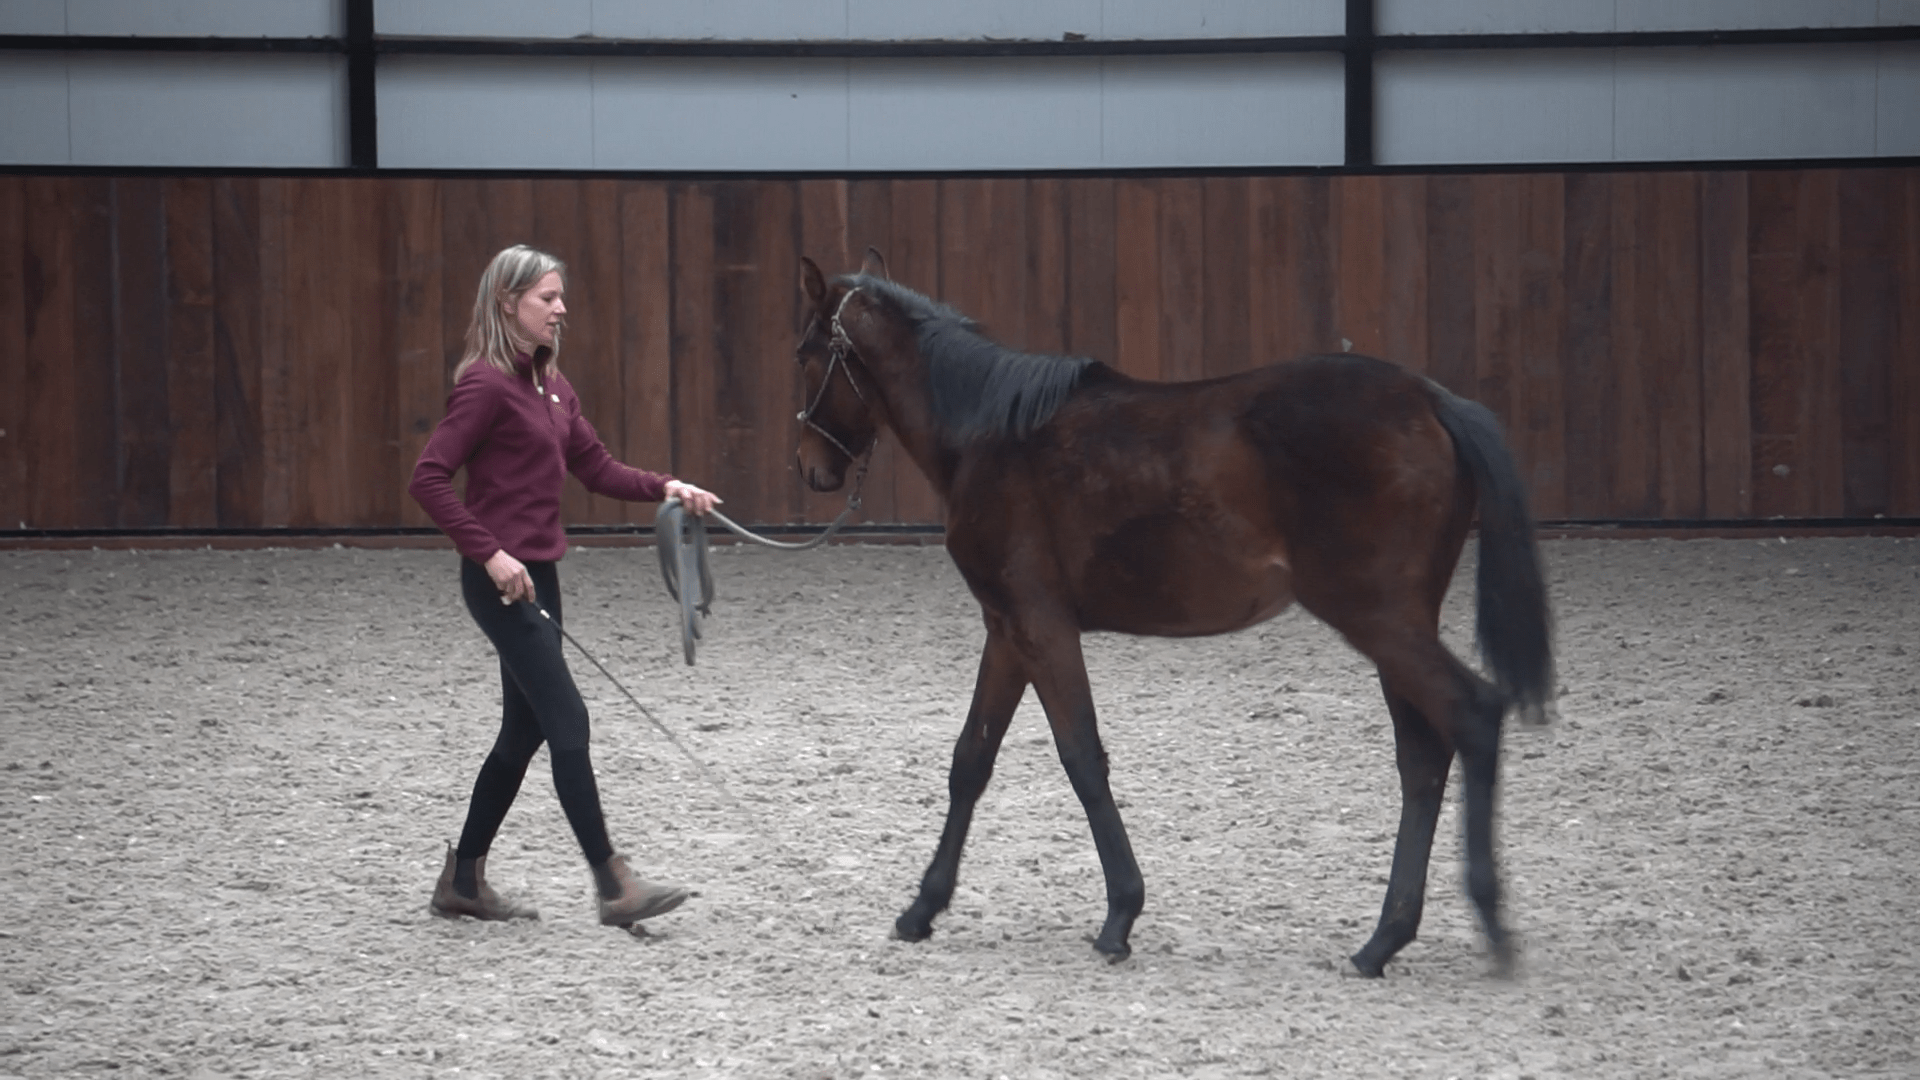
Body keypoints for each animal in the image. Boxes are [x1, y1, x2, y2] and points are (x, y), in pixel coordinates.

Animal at [791, 249, 1554, 977]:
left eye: (803, 354)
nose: (808, 467)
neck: (990, 435)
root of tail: (1430, 399)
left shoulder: (1039, 624)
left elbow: (1081, 757)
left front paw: (1120, 916)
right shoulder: (1007, 630)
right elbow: (971, 760)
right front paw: (922, 907)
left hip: (1378, 618)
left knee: (1472, 716)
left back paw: (1483, 923)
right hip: (1400, 623)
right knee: (1424, 757)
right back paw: (1384, 940)